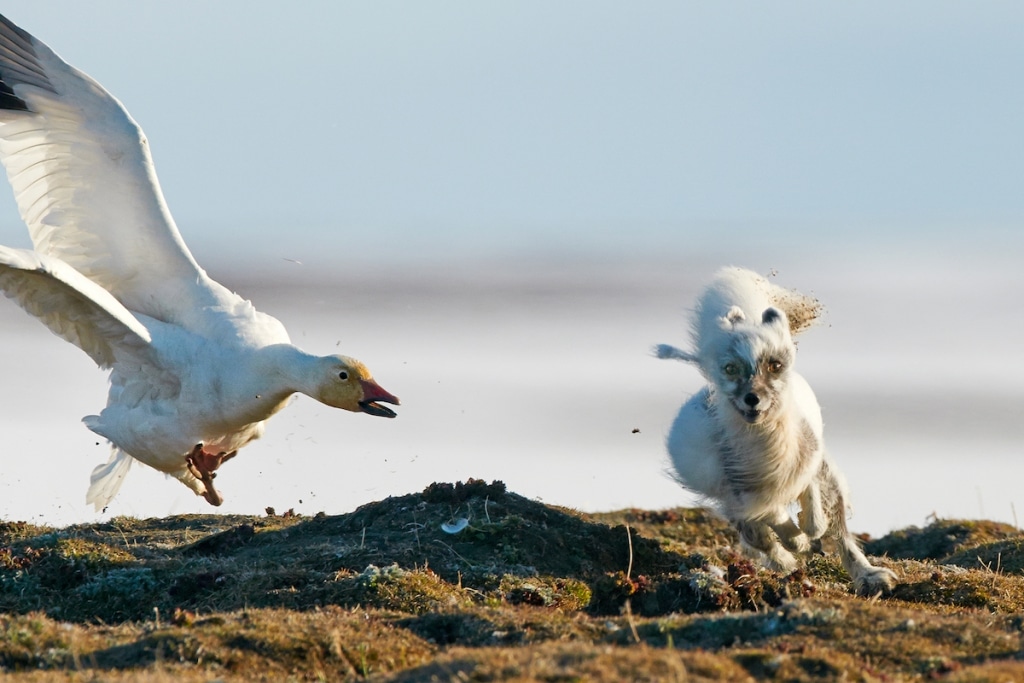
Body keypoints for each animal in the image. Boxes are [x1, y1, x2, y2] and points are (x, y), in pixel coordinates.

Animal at [656, 266, 896, 595]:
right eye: (730, 369)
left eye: (775, 365)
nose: (752, 398)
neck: (768, 442)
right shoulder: (745, 495)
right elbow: (776, 520)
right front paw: (797, 544)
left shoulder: (809, 463)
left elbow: (815, 511)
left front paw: (810, 529)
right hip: (736, 504)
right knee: (758, 536)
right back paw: (787, 561)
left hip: (827, 480)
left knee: (841, 533)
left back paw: (868, 575)